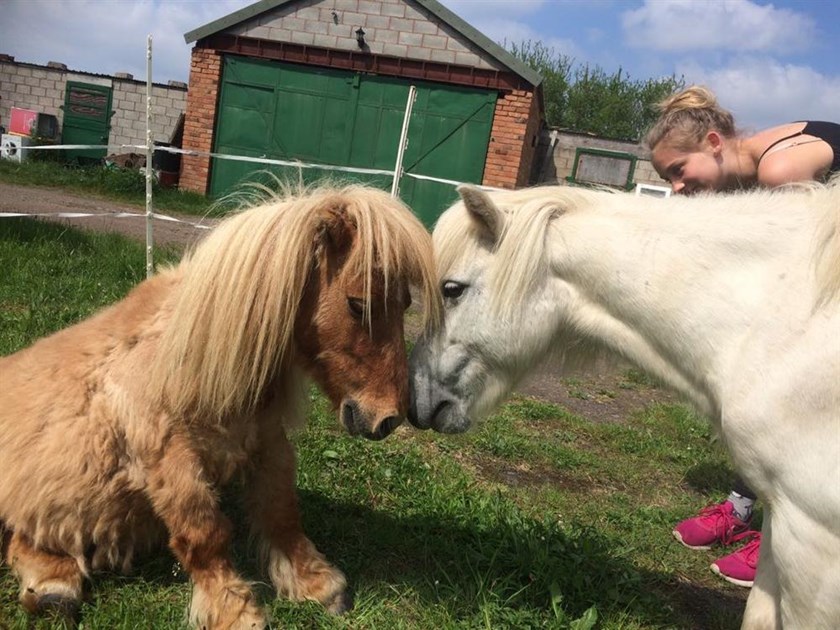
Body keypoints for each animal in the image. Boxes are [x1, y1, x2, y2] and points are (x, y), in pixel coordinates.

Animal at [0, 183, 441, 629]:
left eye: (405, 304)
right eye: (357, 304)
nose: (386, 418)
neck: (189, 366)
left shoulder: (269, 443)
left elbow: (281, 511)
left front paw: (317, 584)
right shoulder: (172, 463)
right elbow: (205, 534)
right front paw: (235, 610)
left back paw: (53, 590)